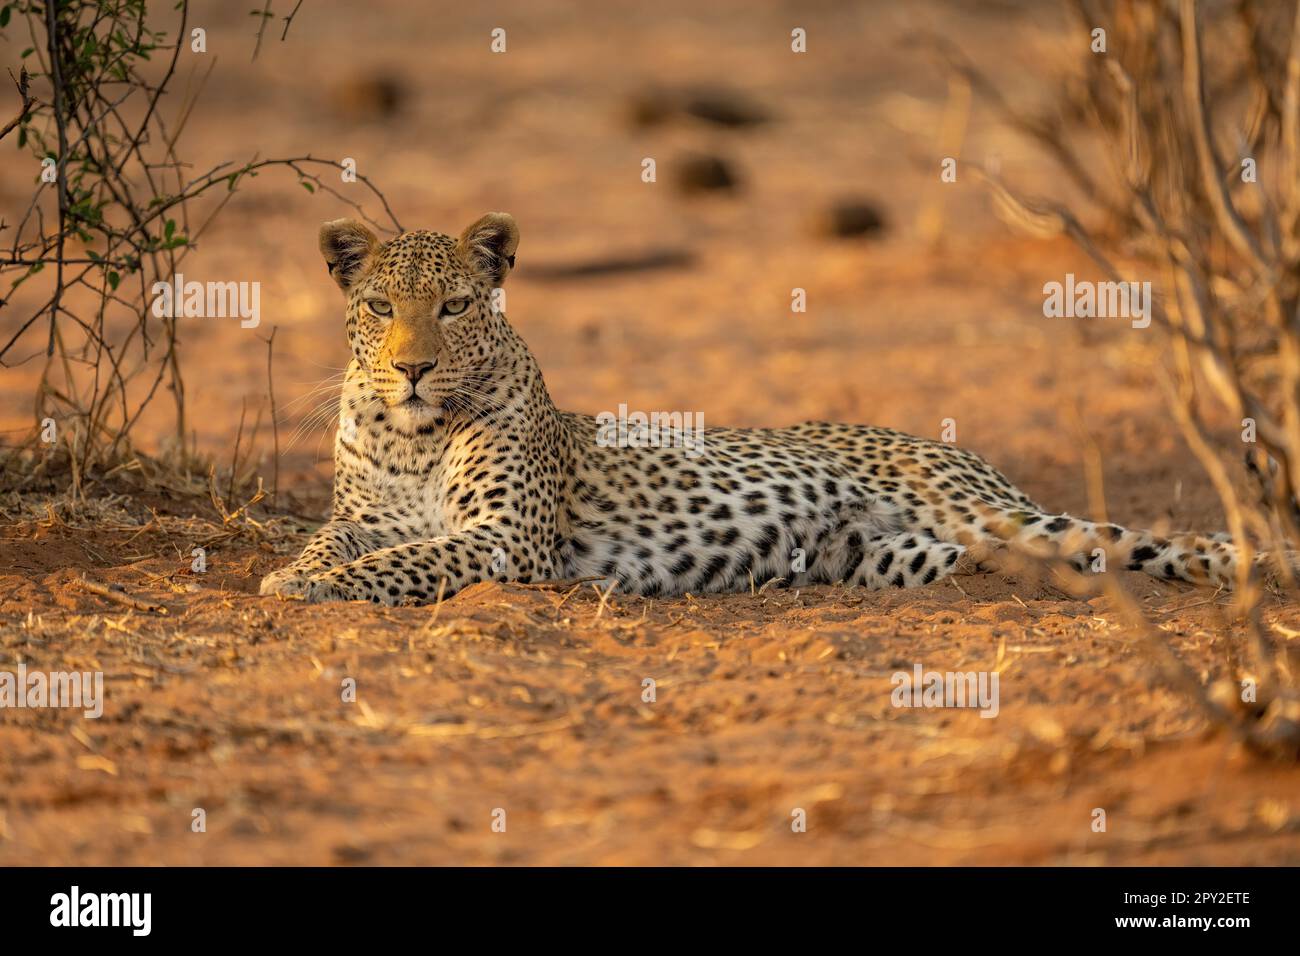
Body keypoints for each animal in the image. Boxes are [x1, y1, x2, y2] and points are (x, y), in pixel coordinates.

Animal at [260, 212, 1264, 606]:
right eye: (379, 307)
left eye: (457, 306)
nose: (413, 368)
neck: (413, 437)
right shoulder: (363, 513)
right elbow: (334, 542)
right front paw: (289, 575)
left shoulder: (506, 539)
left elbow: (406, 562)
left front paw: (309, 589)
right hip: (896, 554)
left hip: (987, 506)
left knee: (1136, 538)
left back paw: (1249, 561)